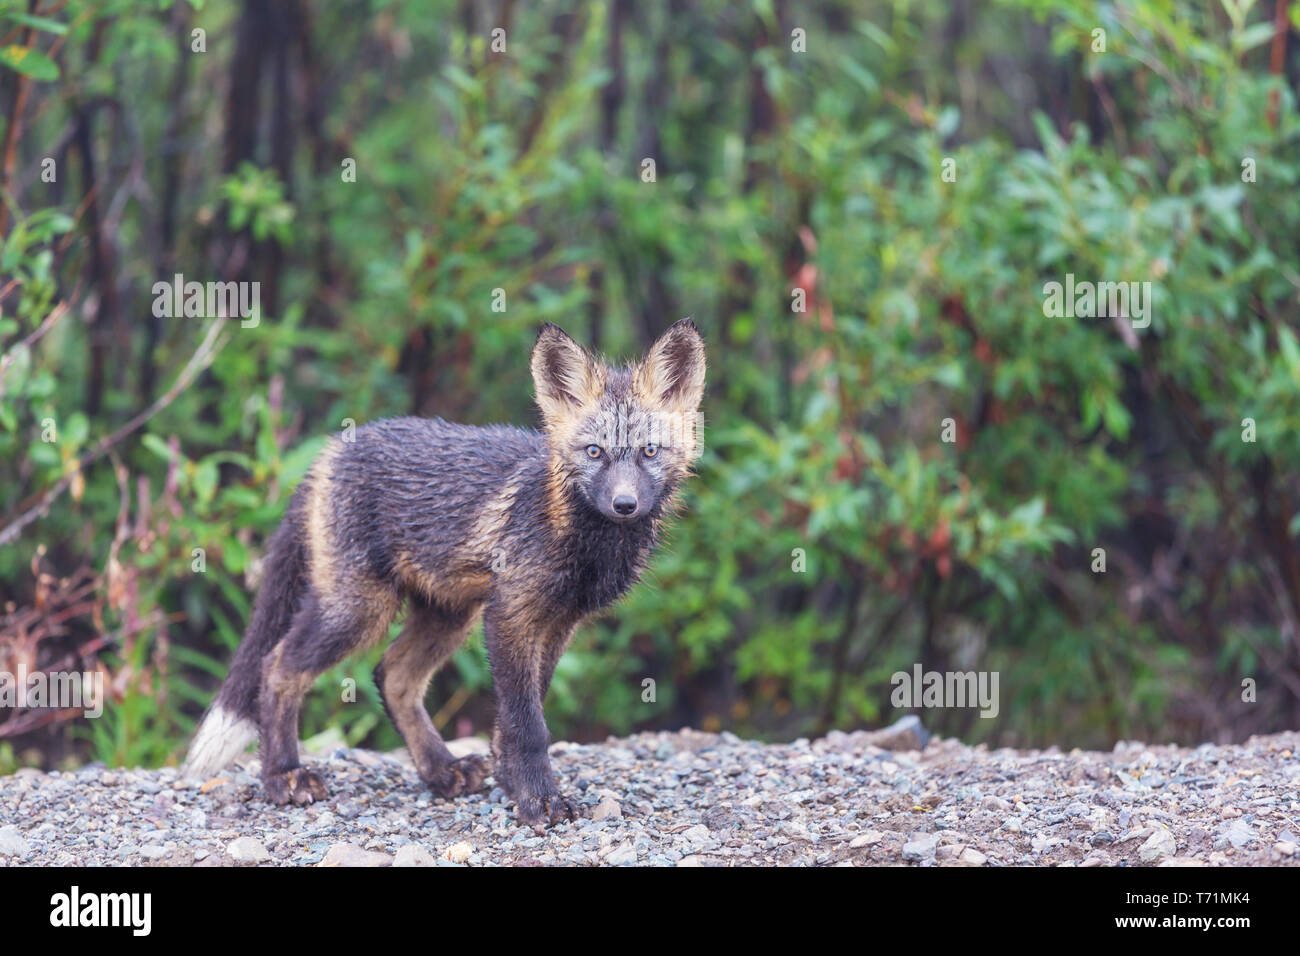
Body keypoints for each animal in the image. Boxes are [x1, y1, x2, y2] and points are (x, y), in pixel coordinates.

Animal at [183, 318, 706, 826]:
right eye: (595, 452)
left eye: (650, 452)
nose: (625, 504)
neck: (579, 540)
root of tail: (331, 450)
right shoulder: (510, 616)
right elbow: (528, 725)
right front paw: (538, 801)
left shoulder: (558, 623)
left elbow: (514, 720)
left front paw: (510, 782)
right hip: (358, 611)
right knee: (276, 666)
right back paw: (282, 776)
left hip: (448, 614)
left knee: (392, 676)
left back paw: (440, 770)